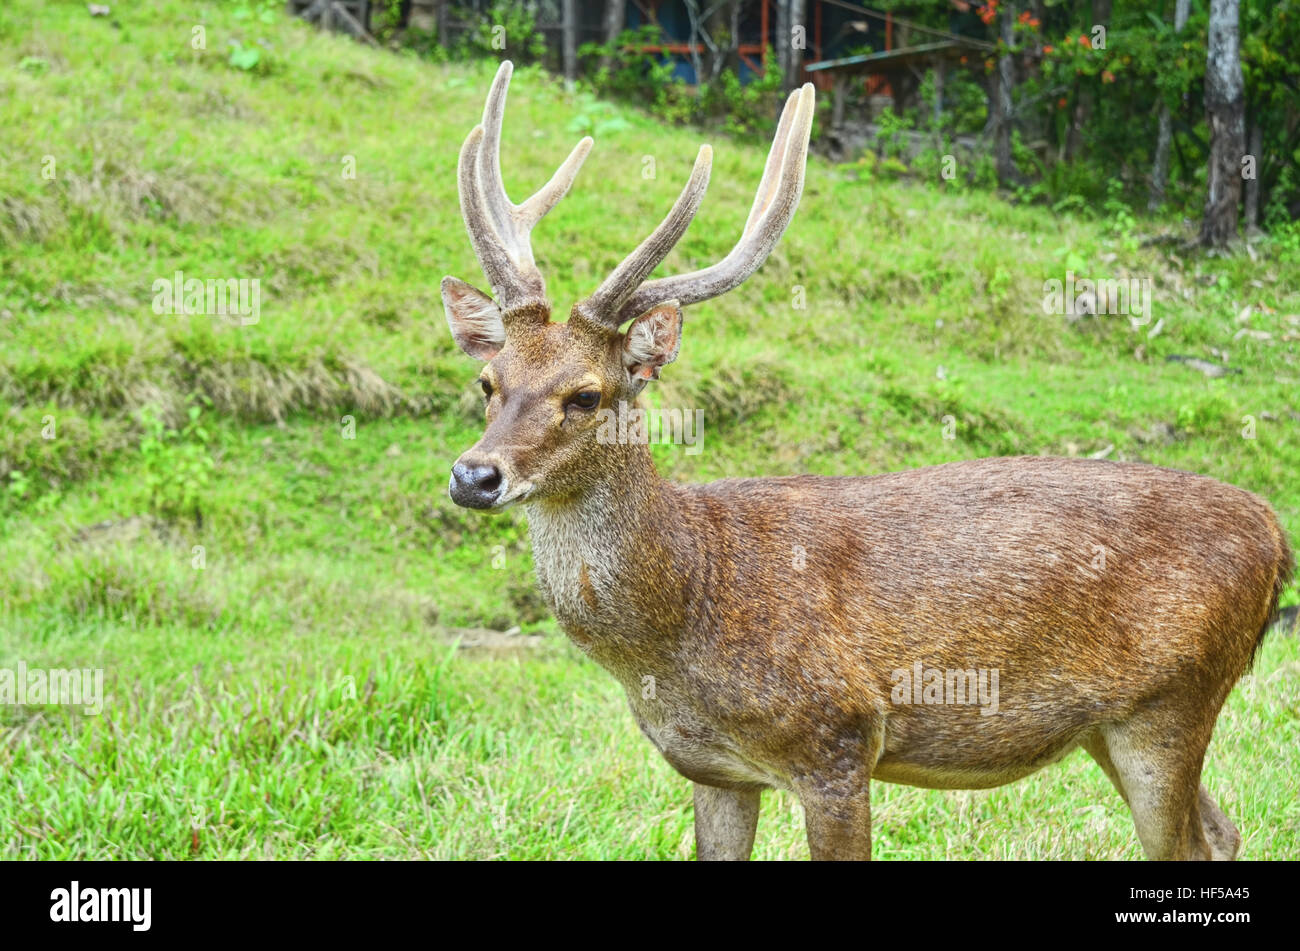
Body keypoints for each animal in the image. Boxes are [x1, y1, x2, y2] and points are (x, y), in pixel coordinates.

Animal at [442, 61, 1294, 860]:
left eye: (585, 394)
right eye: (488, 382)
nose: (474, 475)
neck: (688, 610)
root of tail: (1276, 537)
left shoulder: (839, 739)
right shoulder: (714, 771)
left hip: (1172, 700)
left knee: (1191, 838)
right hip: (1110, 727)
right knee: (1224, 827)